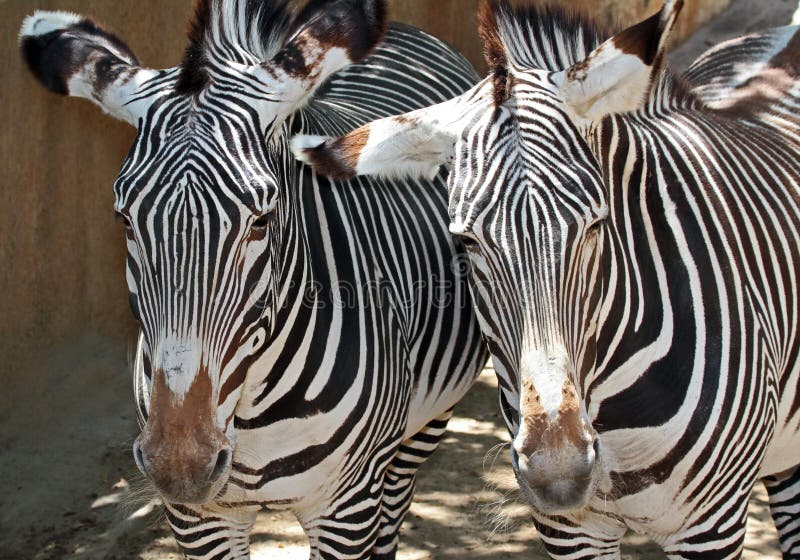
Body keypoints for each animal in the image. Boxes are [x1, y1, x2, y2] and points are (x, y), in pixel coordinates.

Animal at [19, 1, 488, 558]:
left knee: (394, 510)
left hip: (423, 427)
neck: (251, 411)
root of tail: (404, 32)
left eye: (261, 220)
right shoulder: (200, 520)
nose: (180, 465)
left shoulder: (346, 508)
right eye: (124, 220)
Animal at [293, 0, 800, 557]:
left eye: (597, 225)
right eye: (466, 242)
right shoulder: (571, 529)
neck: (614, 414)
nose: (558, 474)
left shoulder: (712, 523)